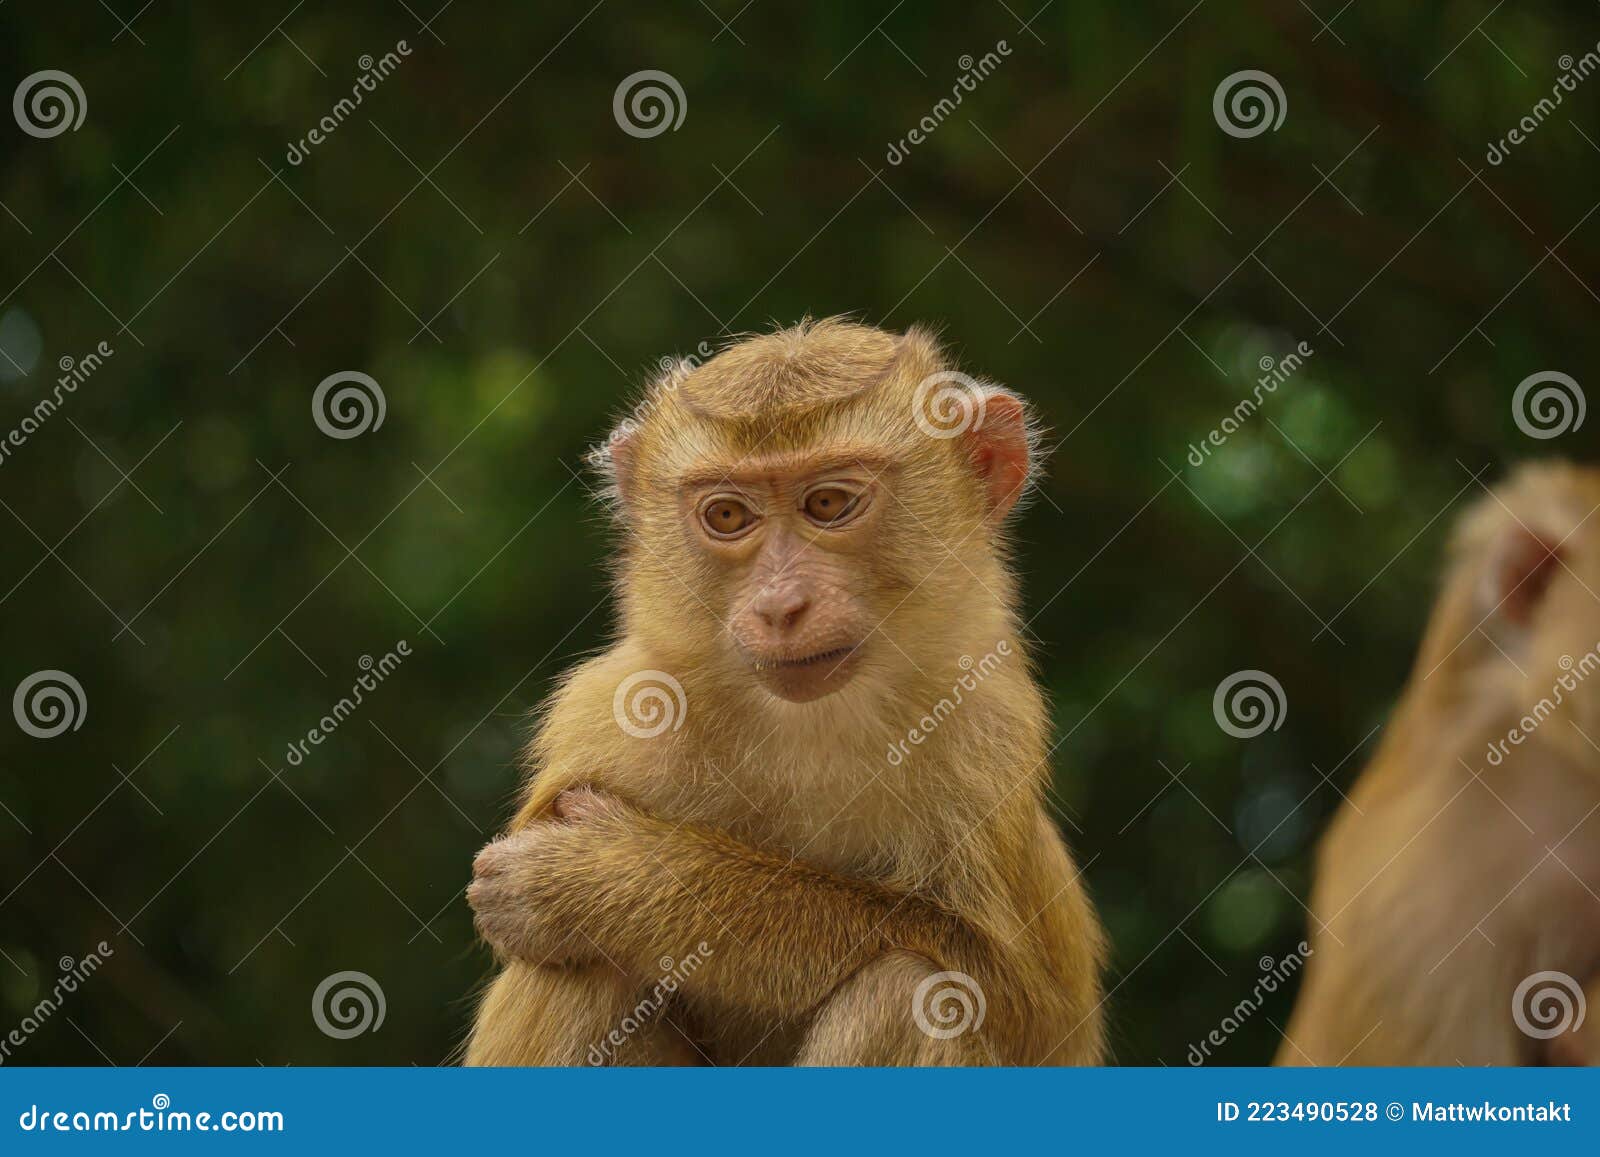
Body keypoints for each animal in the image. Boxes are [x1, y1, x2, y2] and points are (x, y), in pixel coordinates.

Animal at [462, 318, 1106, 1066]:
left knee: (911, 989)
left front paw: (605, 878)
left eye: (828, 503)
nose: (779, 605)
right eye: (727, 514)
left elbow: (1004, 989)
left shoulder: (989, 730)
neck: (808, 726)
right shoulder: (603, 719)